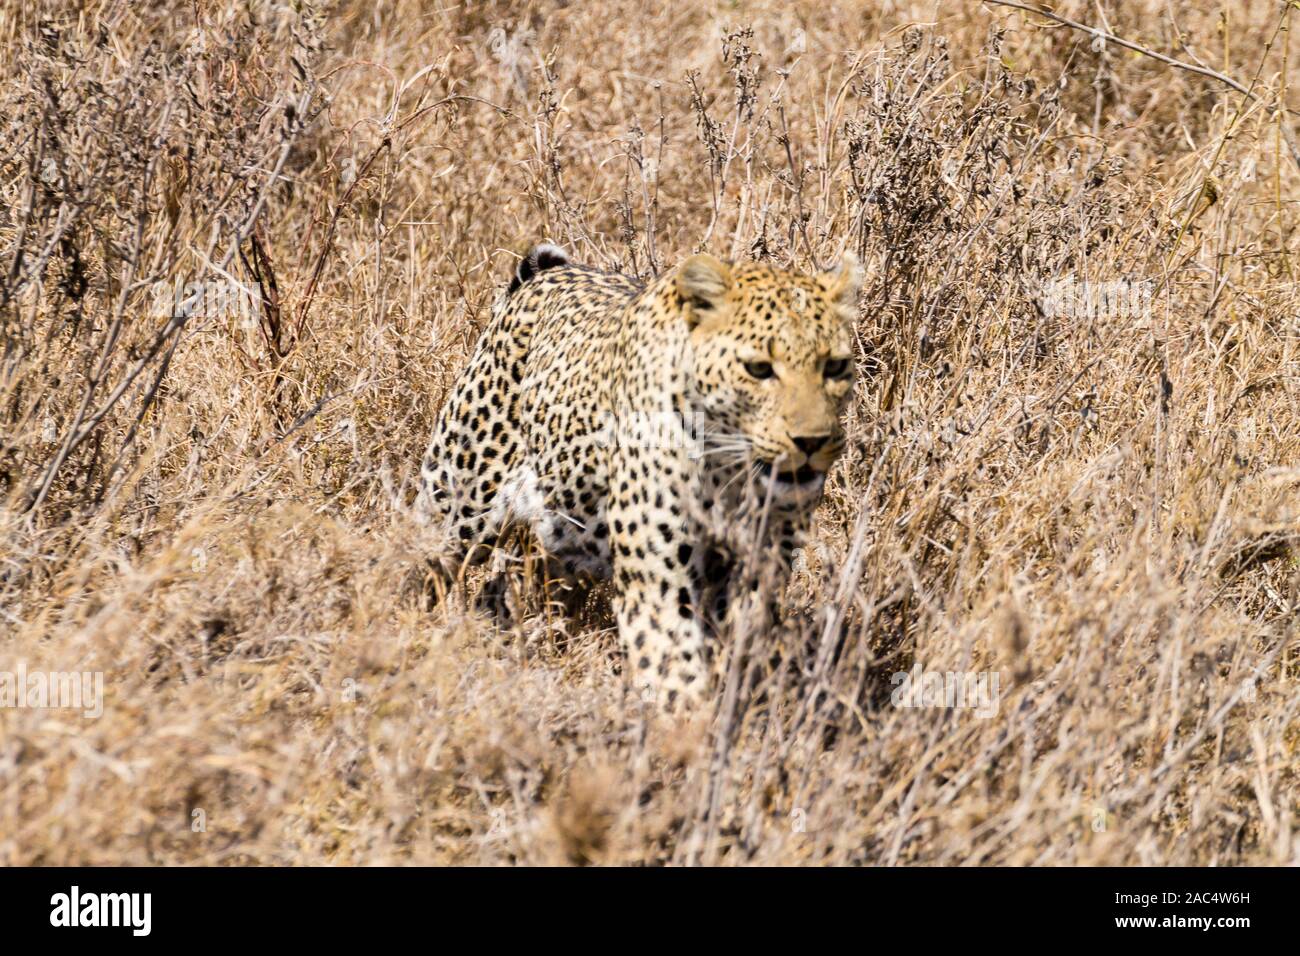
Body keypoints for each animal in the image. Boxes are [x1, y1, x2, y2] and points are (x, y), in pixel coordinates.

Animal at [417, 242, 861, 707]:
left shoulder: (757, 569)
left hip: (563, 536)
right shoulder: (657, 576)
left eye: (834, 367)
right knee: (421, 556)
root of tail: (544, 275)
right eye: (758, 369)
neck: (730, 469)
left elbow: (735, 650)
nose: (811, 441)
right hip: (461, 504)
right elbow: (674, 667)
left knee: (509, 591)